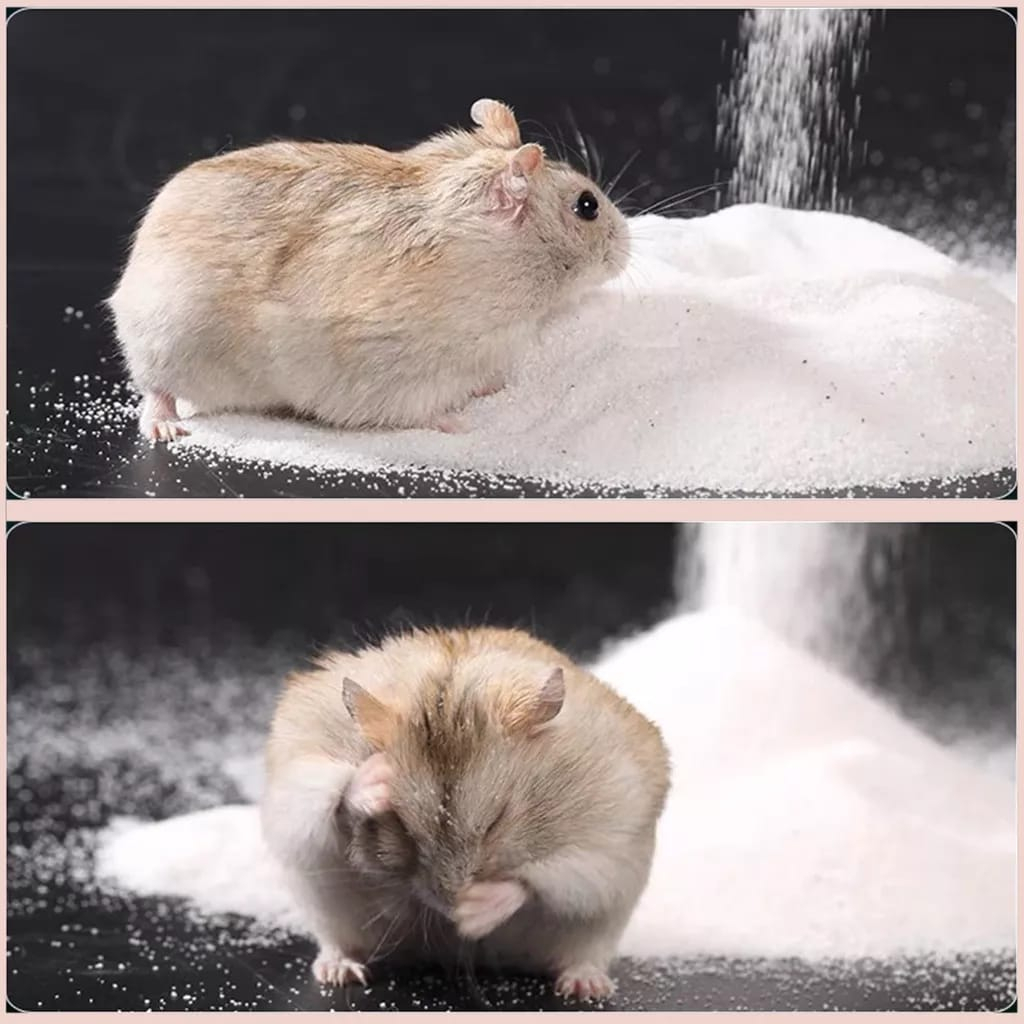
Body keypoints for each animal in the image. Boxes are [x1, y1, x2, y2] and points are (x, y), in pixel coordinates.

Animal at [107, 99, 631, 441]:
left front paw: (492, 385)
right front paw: (459, 422)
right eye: (587, 206)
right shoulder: (384, 364)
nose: (627, 245)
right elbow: (421, 407)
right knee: (155, 390)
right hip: (163, 341)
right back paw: (165, 428)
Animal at [261, 626, 670, 1002]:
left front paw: (472, 914)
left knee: (584, 953)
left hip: (603, 922)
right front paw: (378, 777)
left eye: (496, 822)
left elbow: (534, 881)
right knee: (337, 945)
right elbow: (327, 791)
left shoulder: (605, 839)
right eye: (404, 829)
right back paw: (340, 971)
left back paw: (585, 986)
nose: (450, 909)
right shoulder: (293, 784)